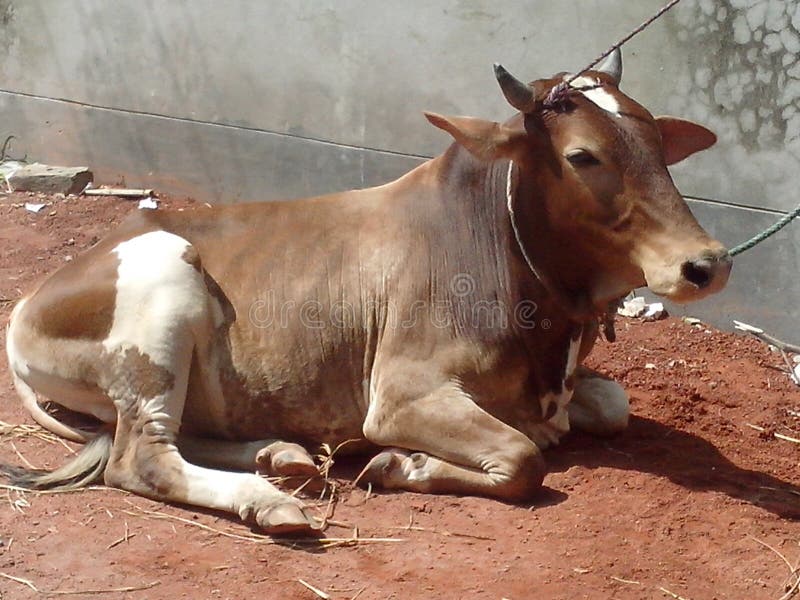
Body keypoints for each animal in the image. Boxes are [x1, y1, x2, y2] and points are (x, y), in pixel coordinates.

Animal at [4, 49, 731, 534]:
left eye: (656, 141)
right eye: (583, 156)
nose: (708, 264)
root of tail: (29, 304)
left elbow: (611, 405)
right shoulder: (403, 394)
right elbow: (525, 458)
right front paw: (401, 466)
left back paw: (282, 455)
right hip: (162, 285)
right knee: (142, 459)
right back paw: (272, 499)